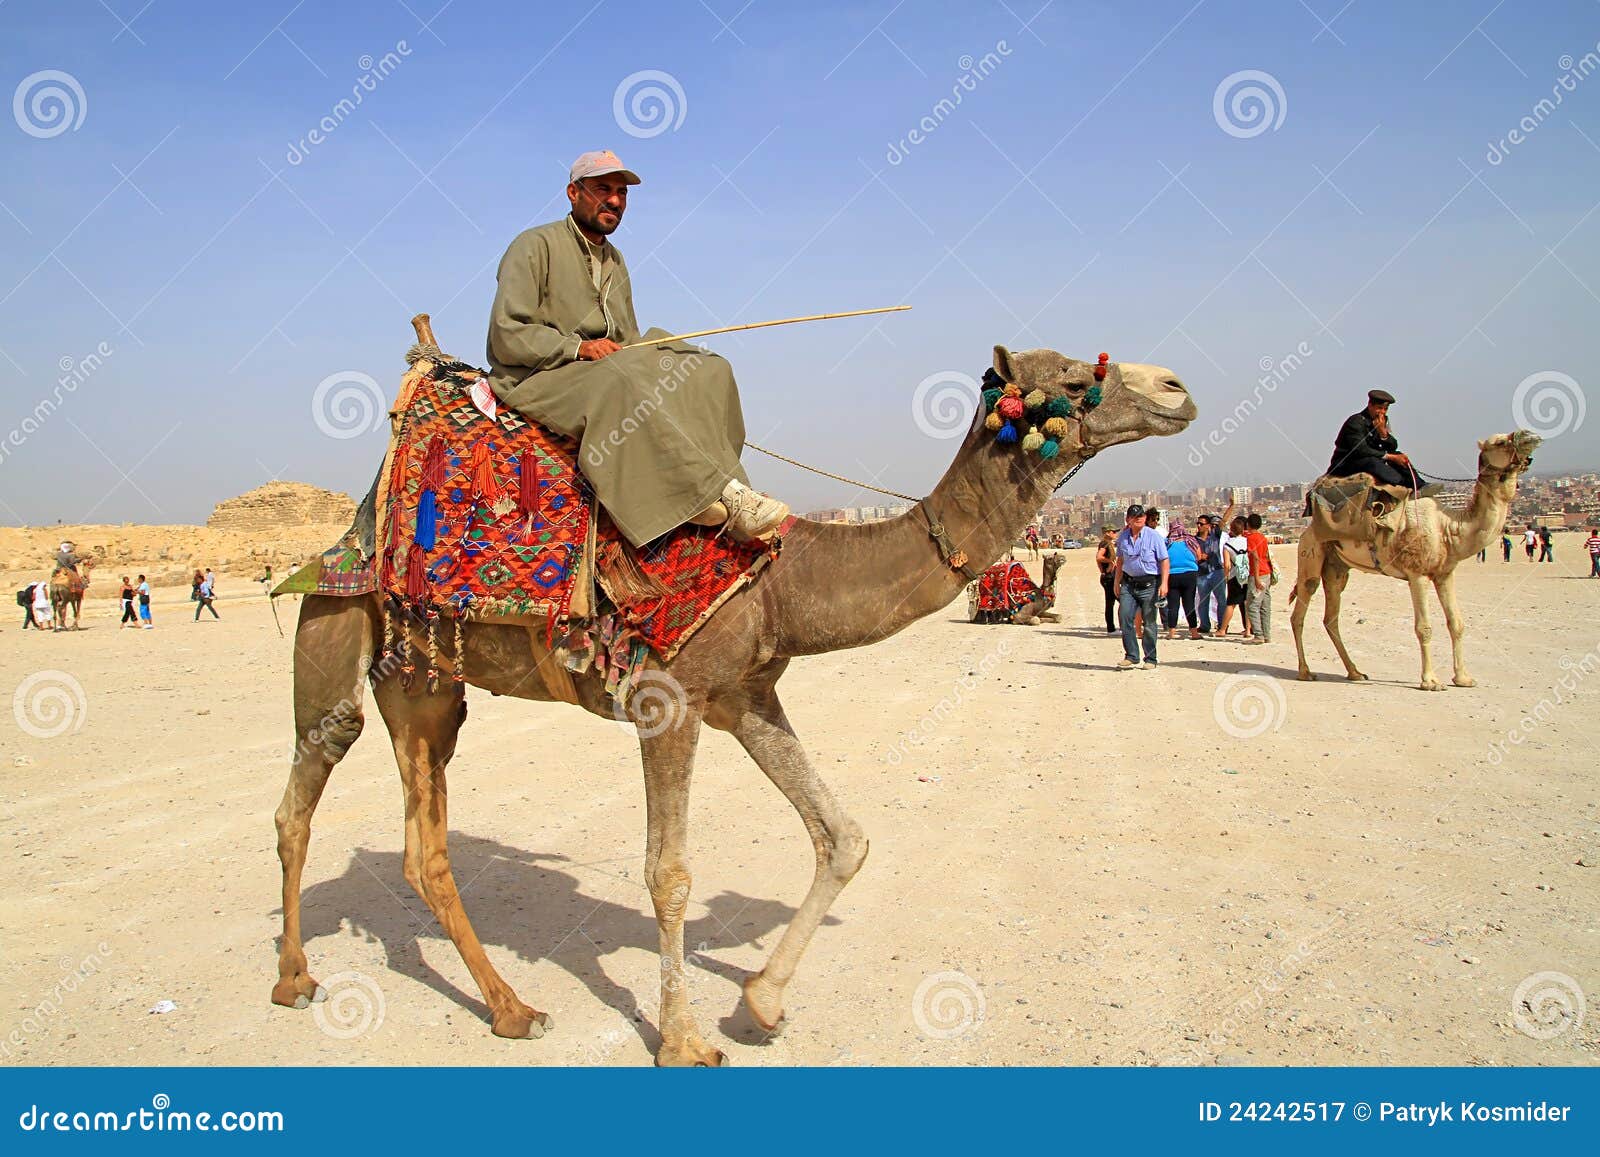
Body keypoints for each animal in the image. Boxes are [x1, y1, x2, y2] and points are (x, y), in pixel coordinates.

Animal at [271, 331, 1194, 1065]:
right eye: (1073, 374)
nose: (1176, 386)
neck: (784, 577)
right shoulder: (668, 699)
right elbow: (669, 873)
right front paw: (684, 1039)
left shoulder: (746, 694)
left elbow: (843, 836)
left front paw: (761, 1001)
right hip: (338, 626)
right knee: (303, 792)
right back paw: (294, 976)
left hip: (428, 686)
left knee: (424, 847)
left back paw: (512, 1009)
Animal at [1290, 430, 1539, 691]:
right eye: (1499, 442)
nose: (1530, 436)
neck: (1448, 527)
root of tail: (1307, 528)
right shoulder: (1416, 573)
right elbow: (1424, 627)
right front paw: (1430, 681)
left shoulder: (1444, 573)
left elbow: (1456, 623)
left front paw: (1463, 678)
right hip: (1310, 551)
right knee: (1300, 609)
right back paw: (1305, 671)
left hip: (1337, 567)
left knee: (1331, 617)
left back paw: (1355, 672)